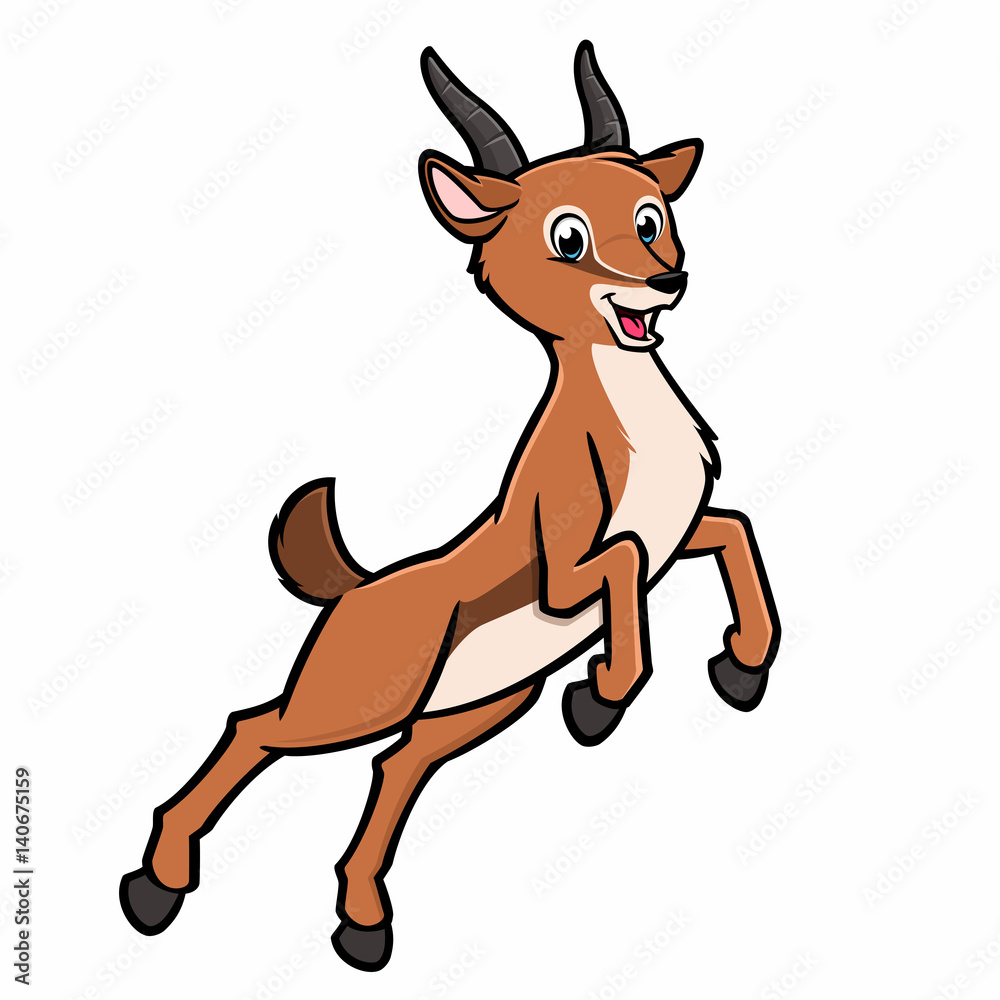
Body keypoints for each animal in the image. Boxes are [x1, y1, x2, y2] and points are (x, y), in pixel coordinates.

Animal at [120, 40, 780, 972]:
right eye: (567, 235)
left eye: (652, 217)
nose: (667, 279)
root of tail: (356, 589)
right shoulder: (570, 573)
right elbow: (620, 569)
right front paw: (604, 694)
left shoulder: (678, 536)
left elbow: (735, 534)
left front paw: (740, 665)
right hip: (357, 700)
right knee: (254, 727)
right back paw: (155, 886)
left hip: (477, 707)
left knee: (394, 769)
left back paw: (362, 924)